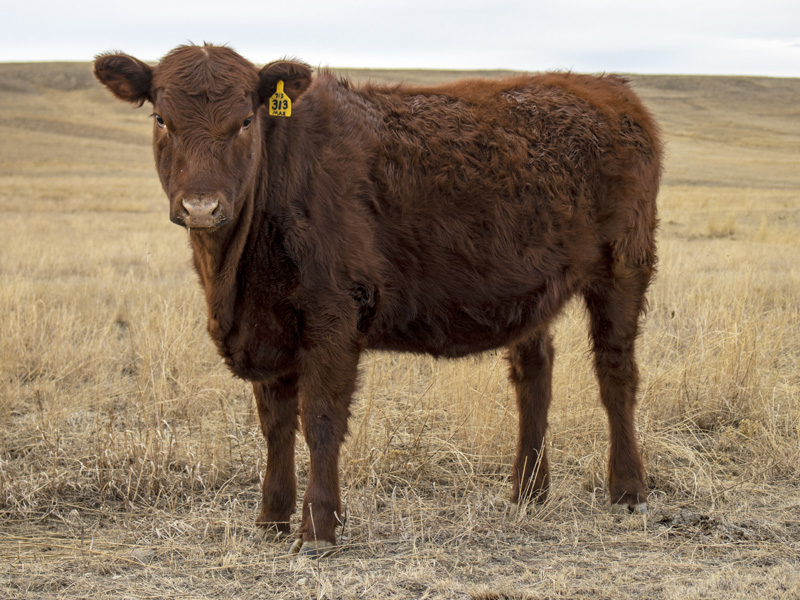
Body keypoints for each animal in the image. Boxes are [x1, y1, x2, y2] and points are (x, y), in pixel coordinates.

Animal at [94, 43, 661, 557]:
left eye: (244, 121)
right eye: (162, 118)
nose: (201, 206)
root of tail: (611, 89)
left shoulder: (333, 318)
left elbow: (320, 420)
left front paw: (318, 528)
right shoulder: (267, 326)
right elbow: (275, 425)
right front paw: (271, 518)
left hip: (624, 268)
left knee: (616, 374)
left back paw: (628, 490)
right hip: (532, 294)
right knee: (534, 377)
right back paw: (527, 492)